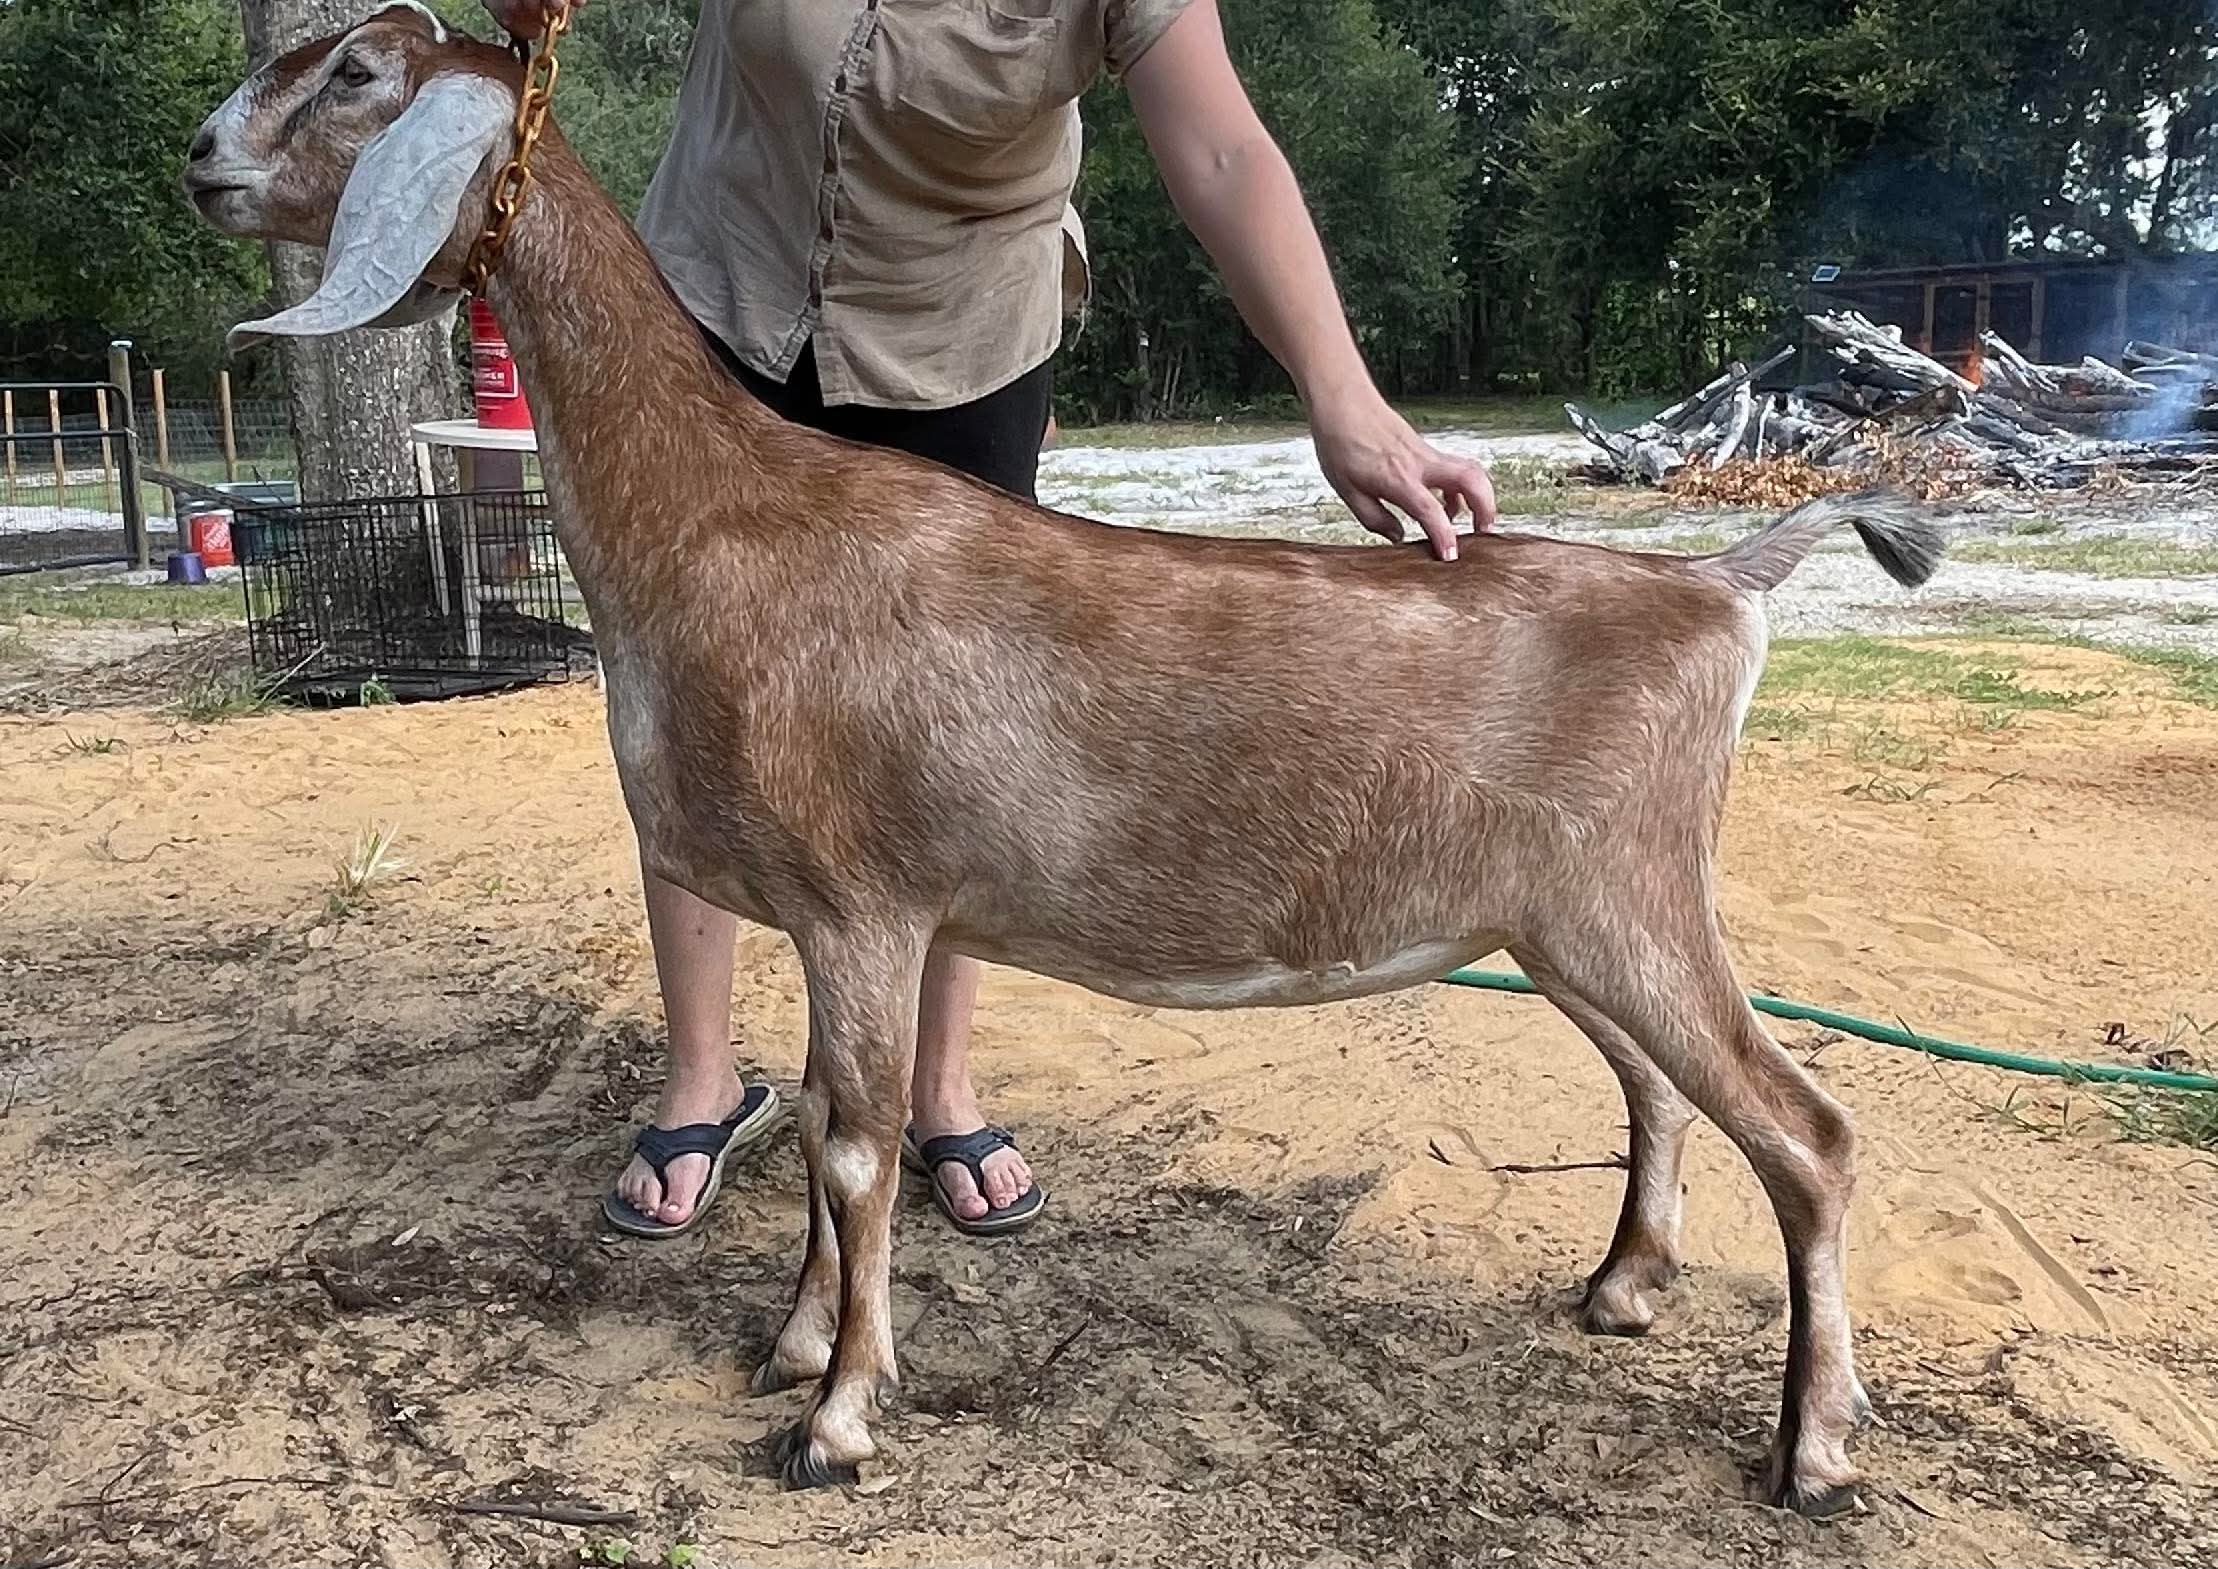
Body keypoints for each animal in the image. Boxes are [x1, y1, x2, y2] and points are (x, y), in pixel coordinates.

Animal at [186, 6, 1941, 1513]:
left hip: (1628, 898)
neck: (725, 520)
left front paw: (837, 1420)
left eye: (355, 74)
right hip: (1565, 917)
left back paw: (1813, 1450)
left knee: (1809, 1131)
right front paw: (795, 1344)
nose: (202, 159)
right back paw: (1623, 1289)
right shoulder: (831, 915)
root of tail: (1716, 587)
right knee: (1657, 1084)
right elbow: (817, 1118)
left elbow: (852, 1142)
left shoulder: (864, 901)